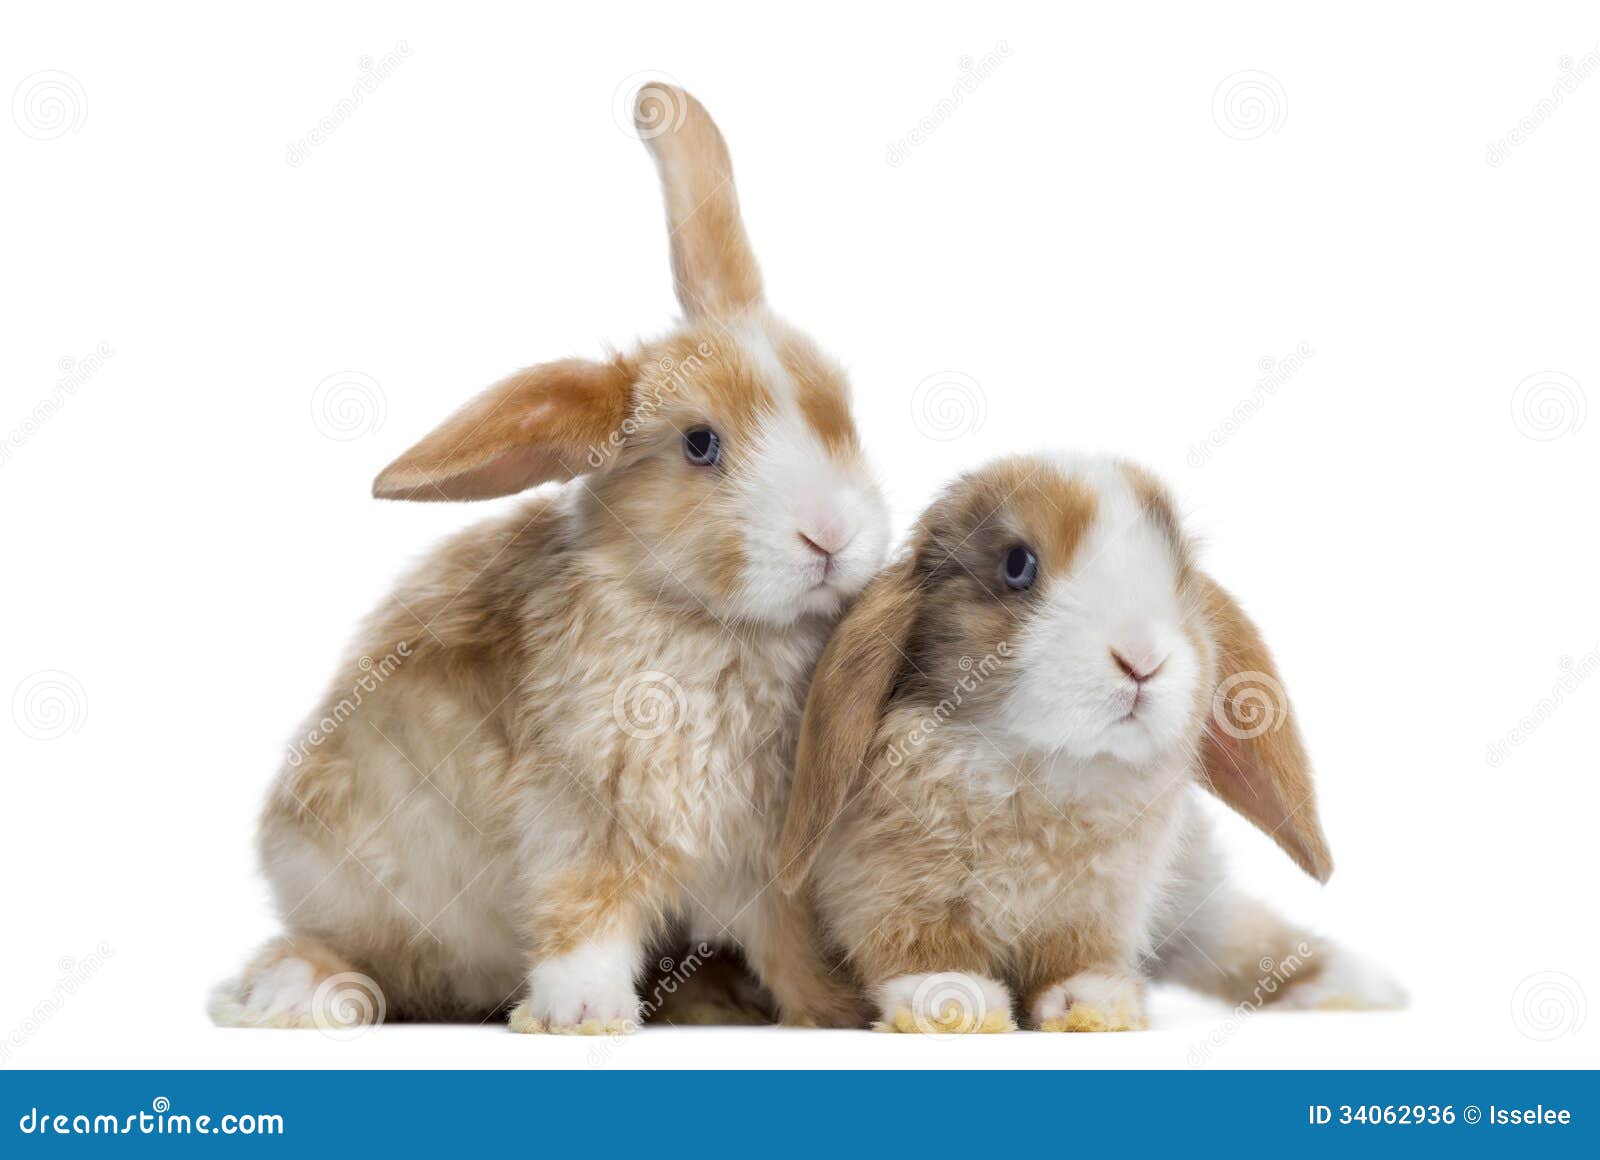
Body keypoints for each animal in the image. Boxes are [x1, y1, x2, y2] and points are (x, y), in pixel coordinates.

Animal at [208, 83, 889, 1034]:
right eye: (701, 445)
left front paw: (830, 1012)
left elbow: (789, 938)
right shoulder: (584, 814)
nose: (832, 536)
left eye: (842, 413)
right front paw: (583, 1015)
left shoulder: (766, 854)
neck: (706, 621)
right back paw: (301, 990)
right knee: (342, 948)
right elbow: (585, 913)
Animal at [776, 453, 1405, 1033]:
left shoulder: (1099, 911)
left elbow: (1080, 961)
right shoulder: (888, 889)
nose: (1143, 658)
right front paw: (954, 1005)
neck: (1042, 766)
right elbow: (916, 949)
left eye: (1179, 573)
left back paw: (1359, 985)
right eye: (1018, 565)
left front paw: (1090, 1007)